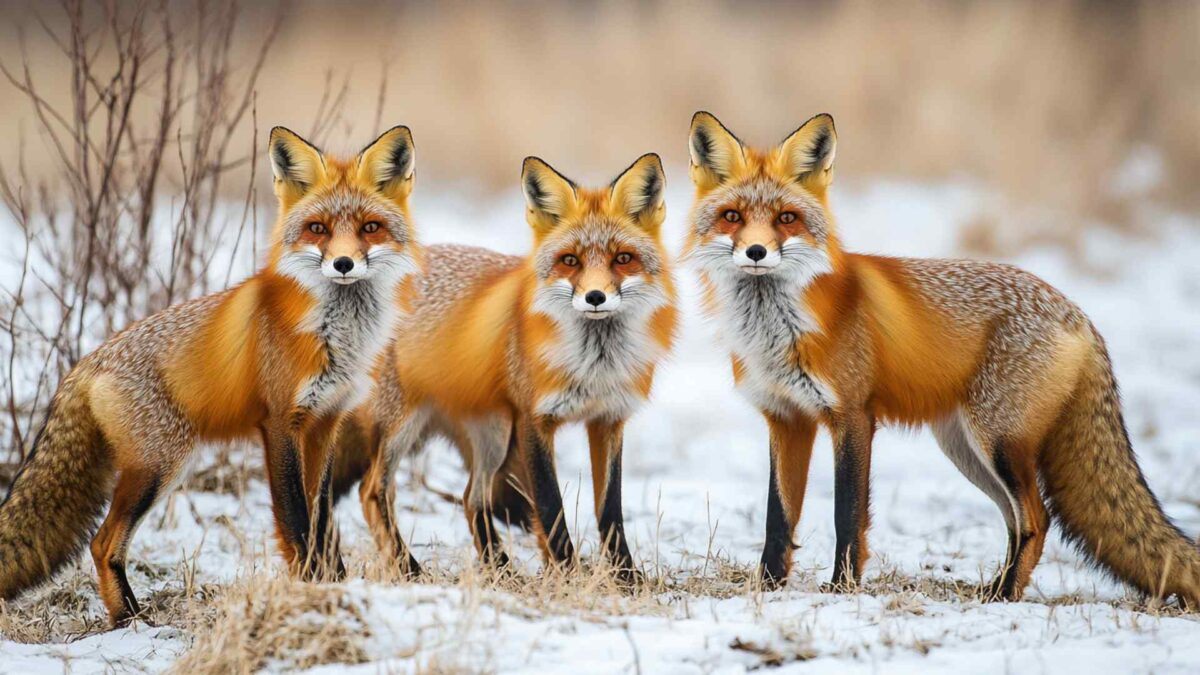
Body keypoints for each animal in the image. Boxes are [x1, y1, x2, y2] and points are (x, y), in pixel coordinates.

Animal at [0, 125, 423, 626]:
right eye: (317, 229)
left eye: (369, 228)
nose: (342, 264)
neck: (334, 335)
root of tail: (87, 362)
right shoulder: (280, 424)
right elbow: (296, 521)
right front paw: (309, 587)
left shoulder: (325, 423)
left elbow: (321, 517)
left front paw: (333, 582)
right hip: (160, 465)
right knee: (102, 543)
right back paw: (131, 622)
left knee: (104, 543)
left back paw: (129, 618)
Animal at [331, 154, 678, 578]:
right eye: (570, 261)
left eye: (623, 259)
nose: (595, 297)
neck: (594, 365)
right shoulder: (535, 420)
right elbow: (551, 506)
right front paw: (567, 573)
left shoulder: (608, 420)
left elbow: (610, 510)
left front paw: (626, 577)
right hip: (404, 423)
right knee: (373, 491)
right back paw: (411, 568)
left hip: (493, 433)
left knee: (471, 498)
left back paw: (502, 570)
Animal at [683, 110, 1200, 607]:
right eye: (732, 216)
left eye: (787, 218)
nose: (756, 251)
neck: (778, 330)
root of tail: (1079, 314)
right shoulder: (786, 418)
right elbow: (778, 518)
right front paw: (768, 587)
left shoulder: (852, 416)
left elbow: (846, 514)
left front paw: (843, 588)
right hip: (967, 449)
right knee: (1016, 520)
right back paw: (995, 588)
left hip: (997, 442)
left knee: (1037, 518)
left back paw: (1004, 595)